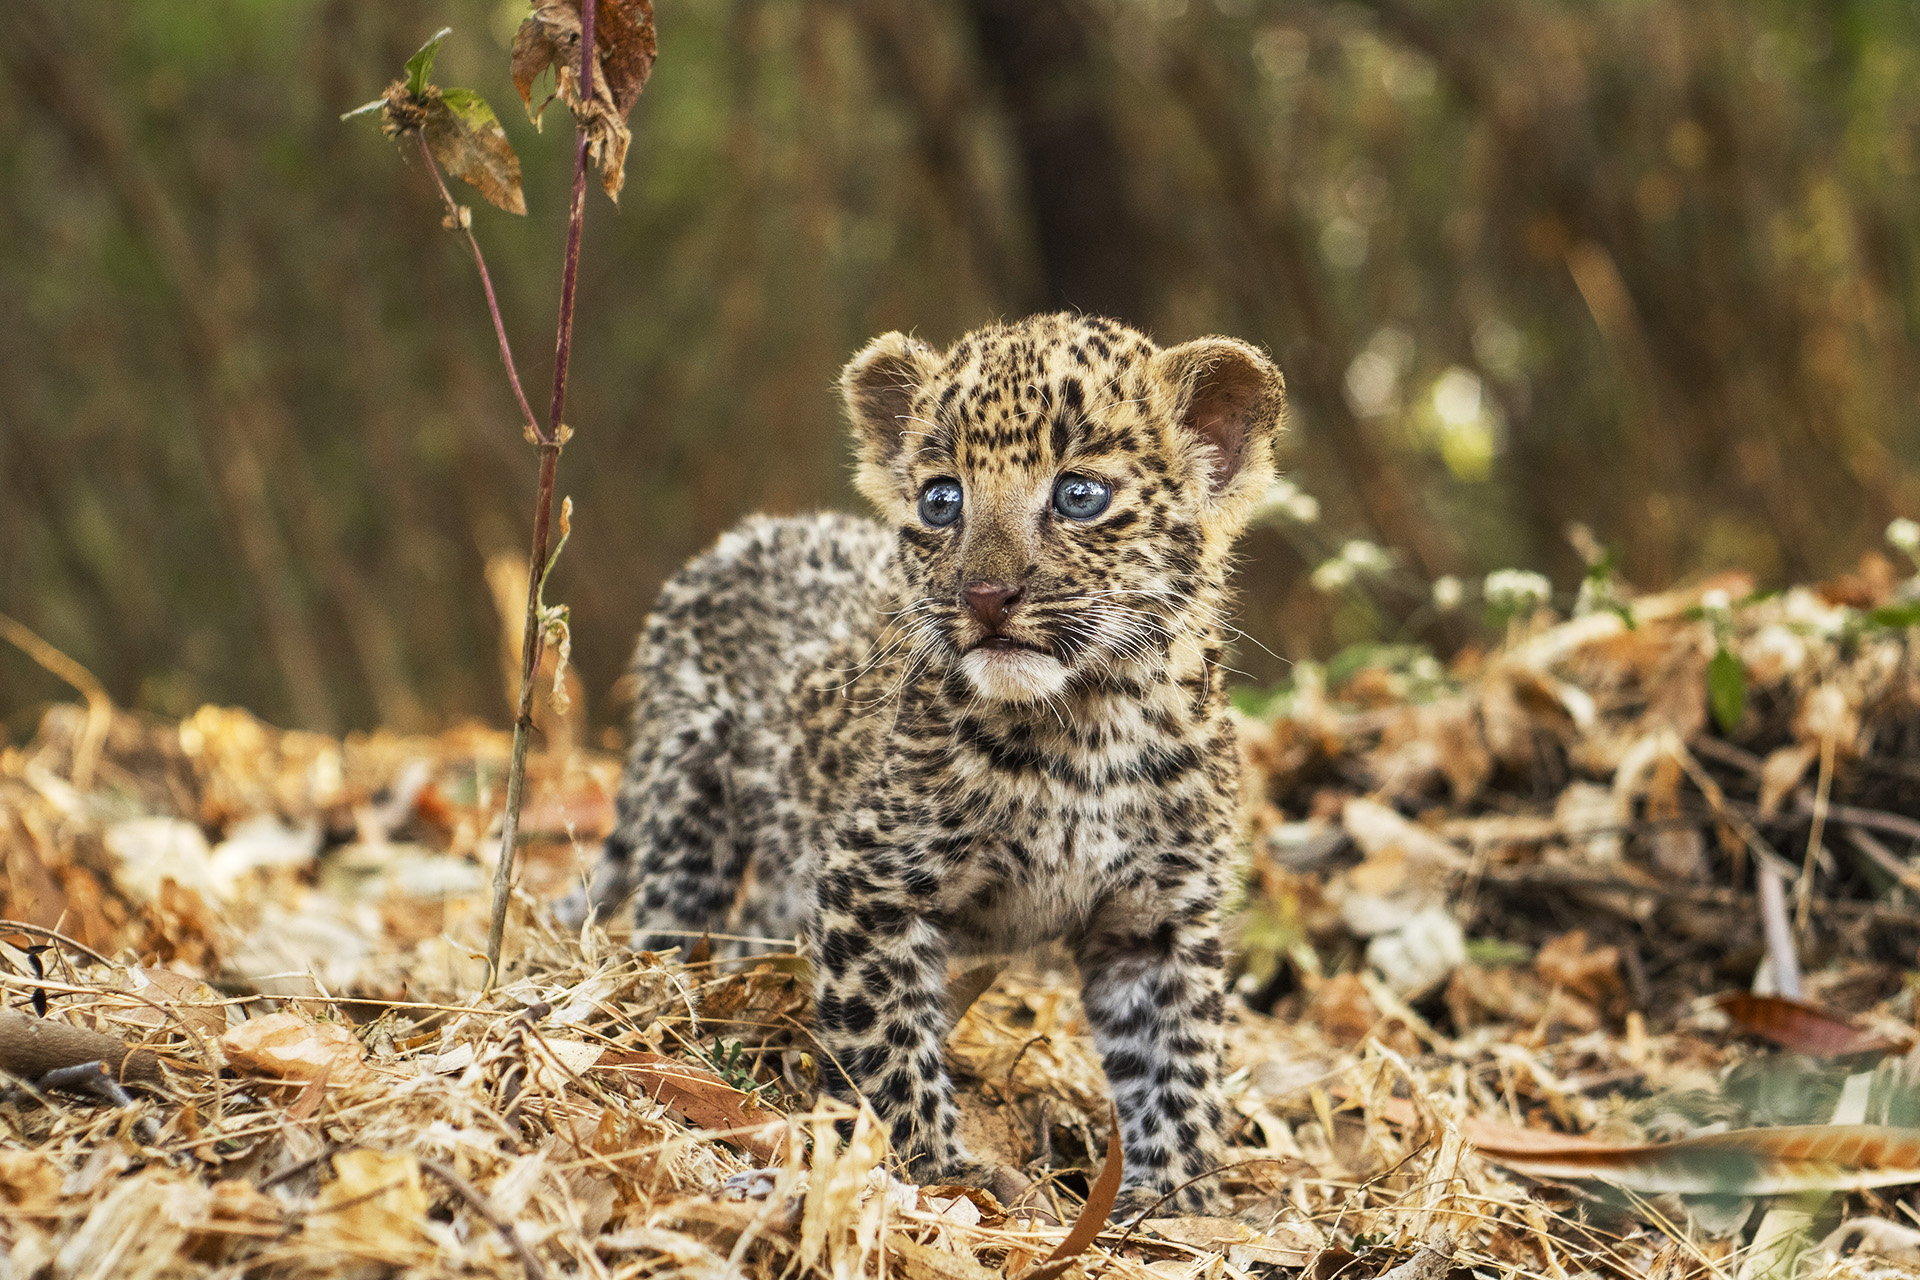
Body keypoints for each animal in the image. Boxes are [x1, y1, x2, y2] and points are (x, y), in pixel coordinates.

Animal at [565, 311, 1286, 1214]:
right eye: (942, 500)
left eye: (1079, 495)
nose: (984, 595)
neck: (1088, 732)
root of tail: (738, 538)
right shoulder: (867, 885)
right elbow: (889, 1042)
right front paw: (930, 1169)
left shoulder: (1154, 920)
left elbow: (1175, 1063)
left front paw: (1180, 1202)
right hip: (687, 801)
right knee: (670, 918)